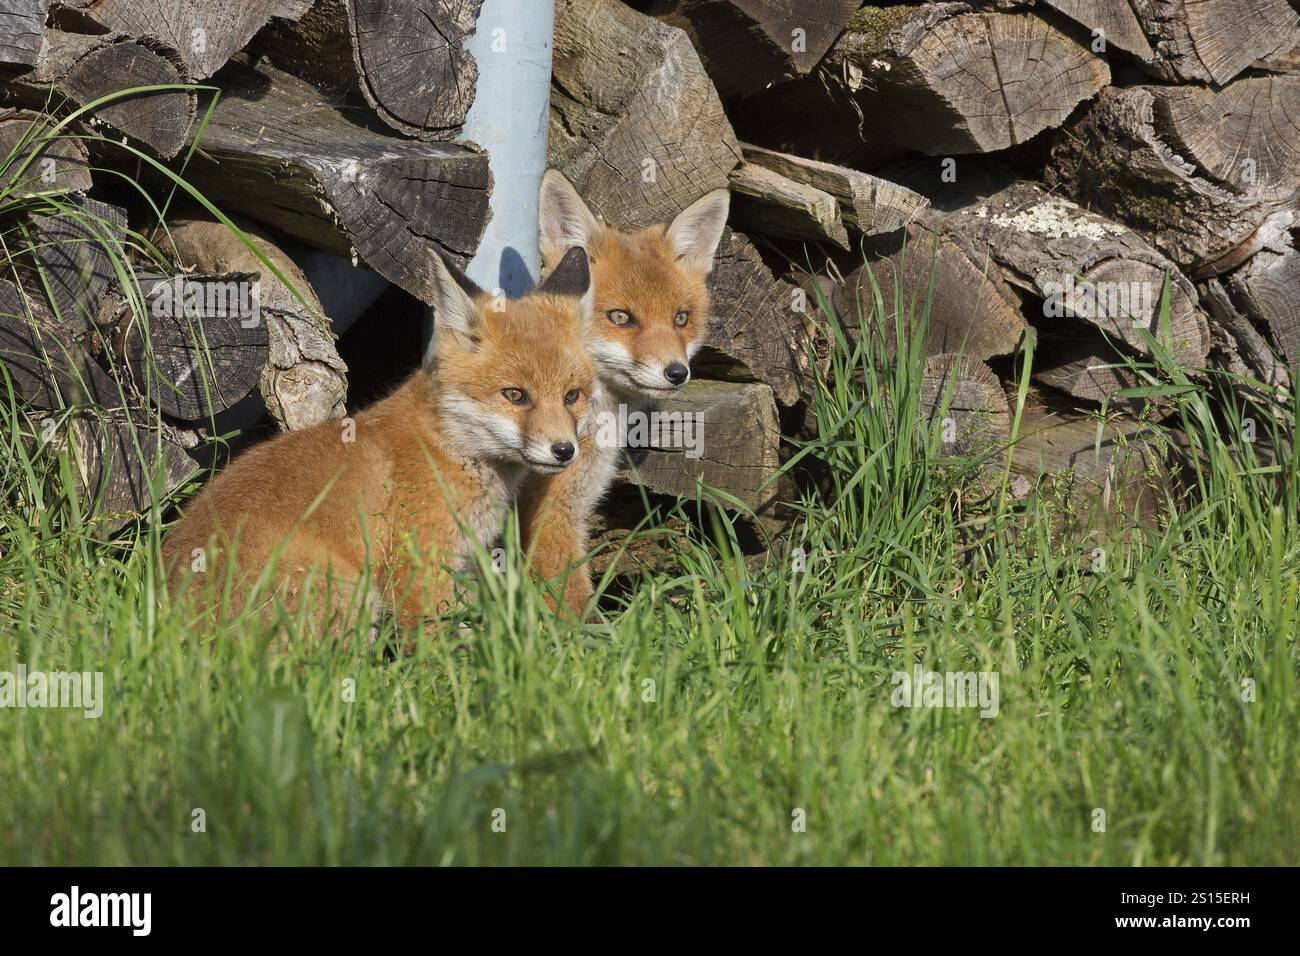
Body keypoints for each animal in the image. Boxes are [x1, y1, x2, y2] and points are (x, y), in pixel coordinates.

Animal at [163, 247, 598, 637]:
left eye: (572, 396)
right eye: (515, 395)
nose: (565, 451)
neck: (448, 445)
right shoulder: (418, 561)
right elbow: (437, 646)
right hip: (351, 594)